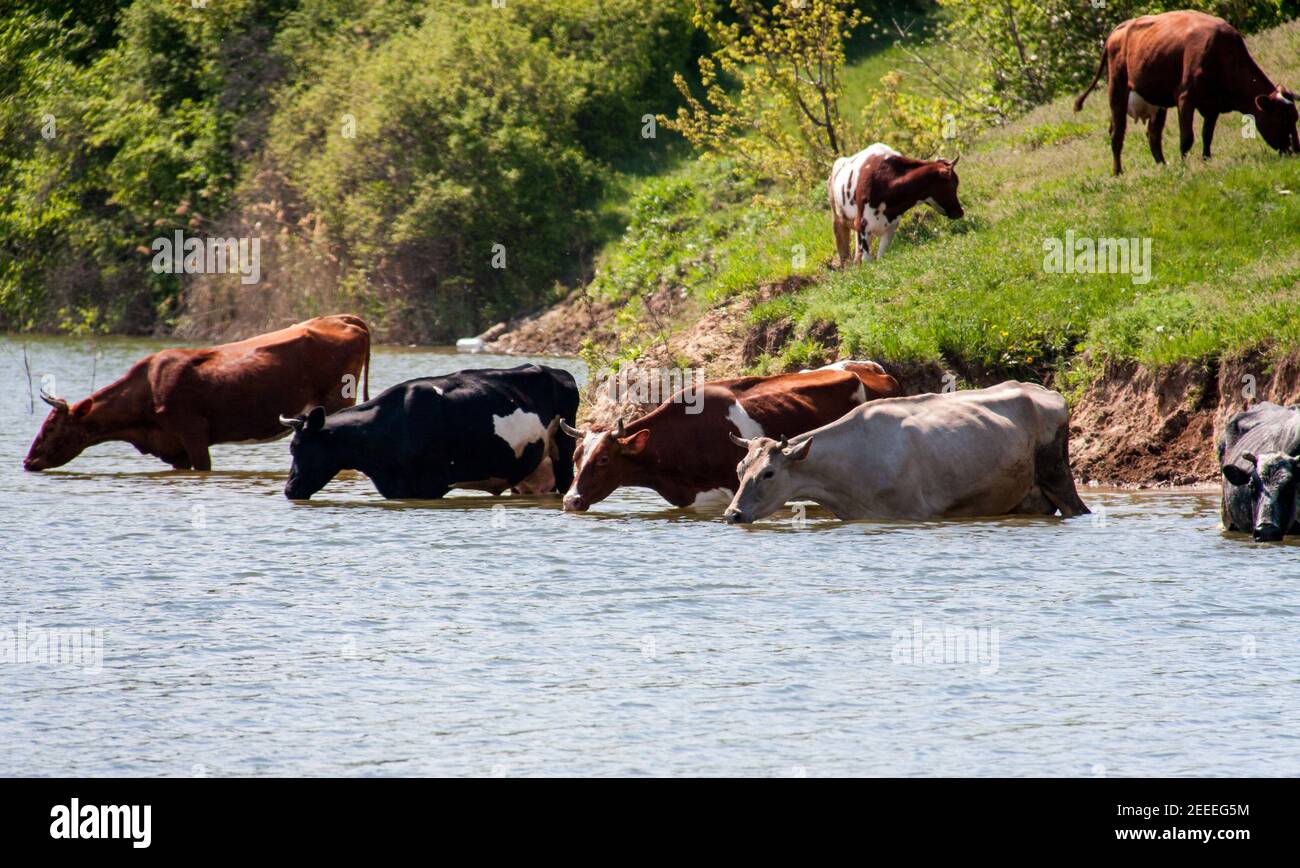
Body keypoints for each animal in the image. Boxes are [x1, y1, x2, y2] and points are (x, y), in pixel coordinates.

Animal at [23, 314, 371, 472]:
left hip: (337, 400)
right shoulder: (174, 449)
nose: (27, 461)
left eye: (51, 427)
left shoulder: (193, 435)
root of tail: (340, 318)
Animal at [722, 381, 1090, 524]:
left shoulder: (912, 511)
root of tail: (1042, 390)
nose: (732, 514)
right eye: (739, 469)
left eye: (769, 473)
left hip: (1058, 474)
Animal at [828, 142, 964, 265]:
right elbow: (867, 261)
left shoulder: (891, 227)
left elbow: (880, 256)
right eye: (954, 183)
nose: (960, 211)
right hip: (838, 220)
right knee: (844, 252)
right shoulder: (862, 224)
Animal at [1074, 10, 1299, 176]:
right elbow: (1187, 137)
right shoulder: (1185, 98)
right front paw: (1185, 166)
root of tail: (1120, 28)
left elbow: (1207, 135)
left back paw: (1162, 165)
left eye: (1295, 117)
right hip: (1117, 90)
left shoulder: (1213, 105)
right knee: (1117, 134)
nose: (1296, 151)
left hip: (1157, 102)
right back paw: (1118, 172)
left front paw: (1206, 160)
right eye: (1281, 119)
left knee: (1153, 135)